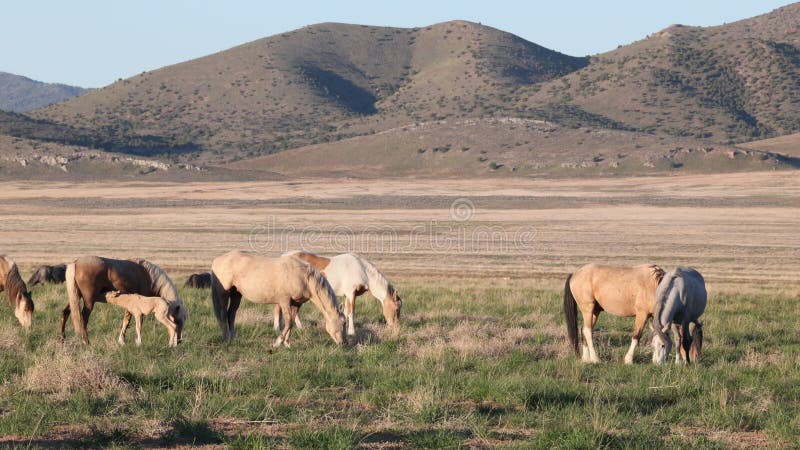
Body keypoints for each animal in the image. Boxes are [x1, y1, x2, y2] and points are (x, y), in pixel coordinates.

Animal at [211, 250, 345, 348]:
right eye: (344, 323)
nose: (343, 343)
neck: (303, 277)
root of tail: (217, 260)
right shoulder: (284, 301)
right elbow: (288, 321)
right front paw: (278, 342)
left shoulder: (296, 304)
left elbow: (291, 323)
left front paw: (287, 343)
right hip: (223, 293)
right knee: (222, 314)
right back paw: (226, 338)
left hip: (236, 294)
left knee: (231, 314)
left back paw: (233, 337)